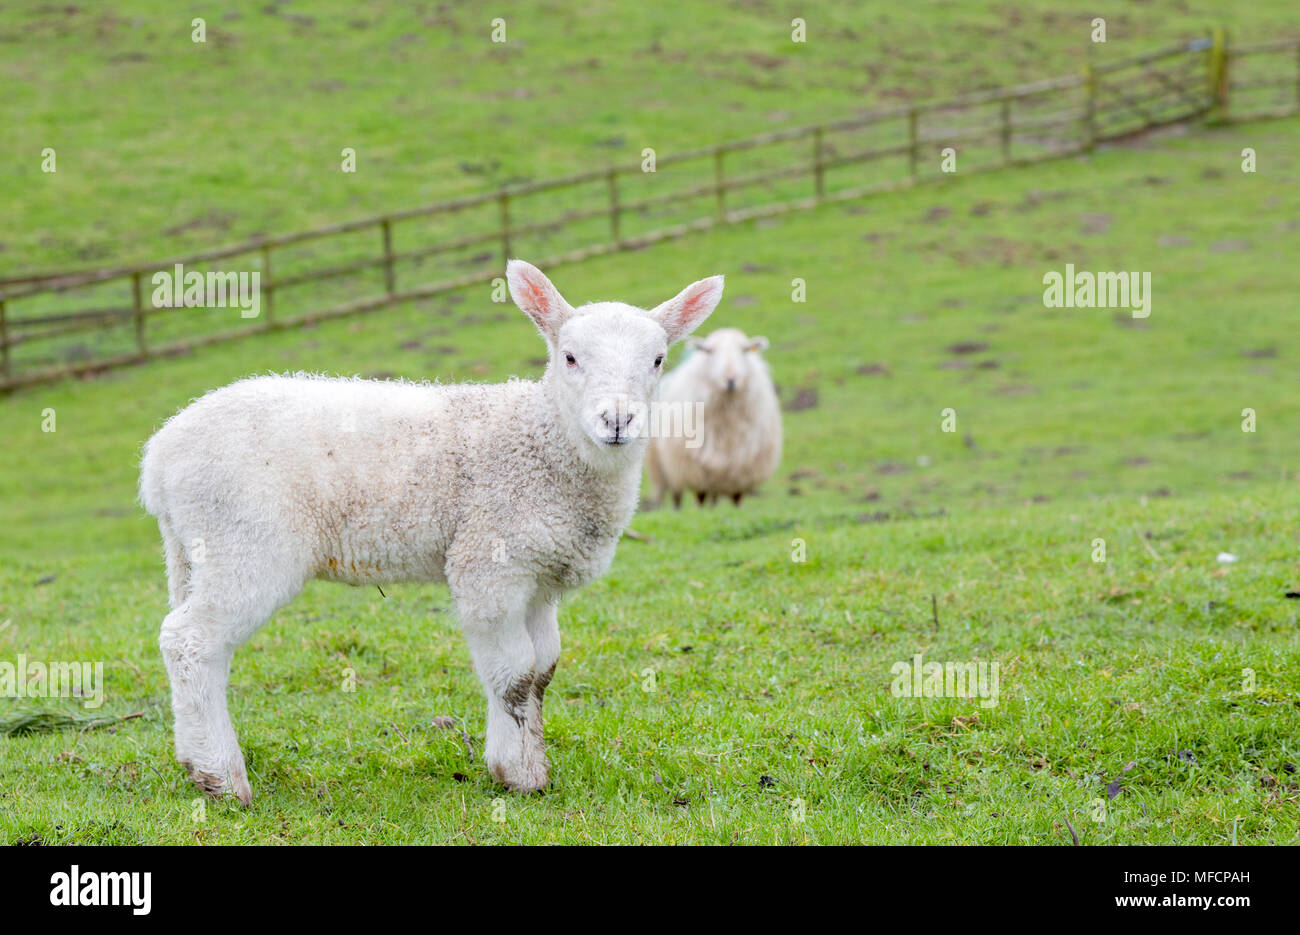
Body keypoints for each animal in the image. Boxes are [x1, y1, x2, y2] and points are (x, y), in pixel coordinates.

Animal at [138, 260, 723, 804]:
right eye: (570, 357)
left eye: (658, 359)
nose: (617, 421)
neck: (544, 441)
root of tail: (160, 456)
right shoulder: (489, 562)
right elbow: (513, 675)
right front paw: (513, 775)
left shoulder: (539, 576)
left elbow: (543, 671)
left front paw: (535, 768)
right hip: (247, 543)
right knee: (190, 640)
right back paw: (222, 778)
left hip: (193, 550)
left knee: (193, 643)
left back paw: (194, 760)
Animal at [646, 327, 781, 508]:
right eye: (709, 351)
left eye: (745, 350)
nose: (731, 380)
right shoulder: (696, 470)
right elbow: (701, 499)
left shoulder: (742, 473)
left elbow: (737, 501)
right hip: (665, 467)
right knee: (676, 495)